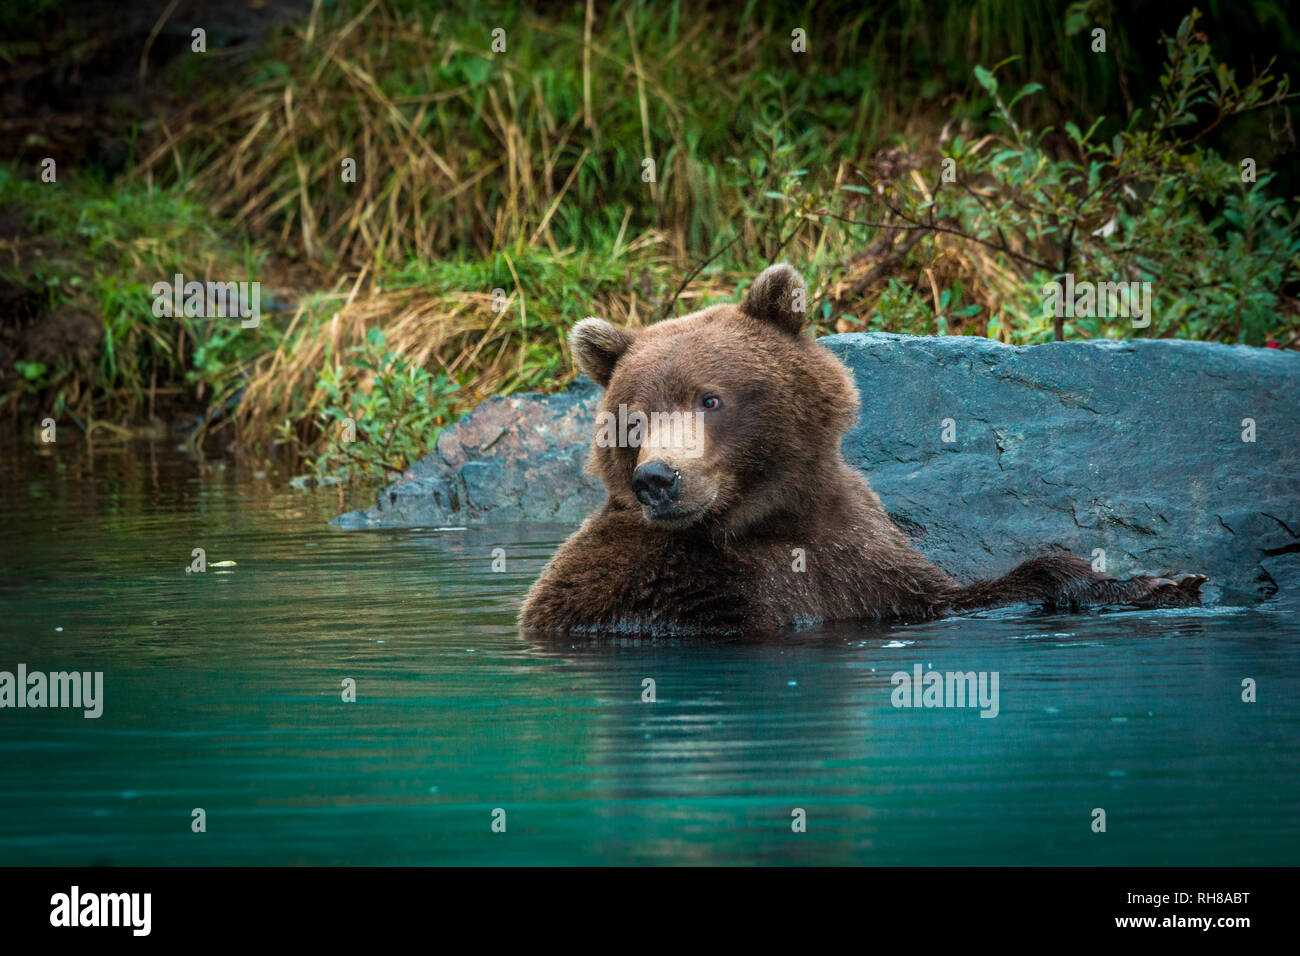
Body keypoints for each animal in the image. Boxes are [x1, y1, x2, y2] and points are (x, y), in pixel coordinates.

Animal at [519, 263, 1206, 635]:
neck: (760, 520)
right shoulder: (643, 588)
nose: (658, 479)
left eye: (708, 399)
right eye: (634, 419)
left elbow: (961, 596)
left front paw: (1164, 581)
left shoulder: (858, 555)